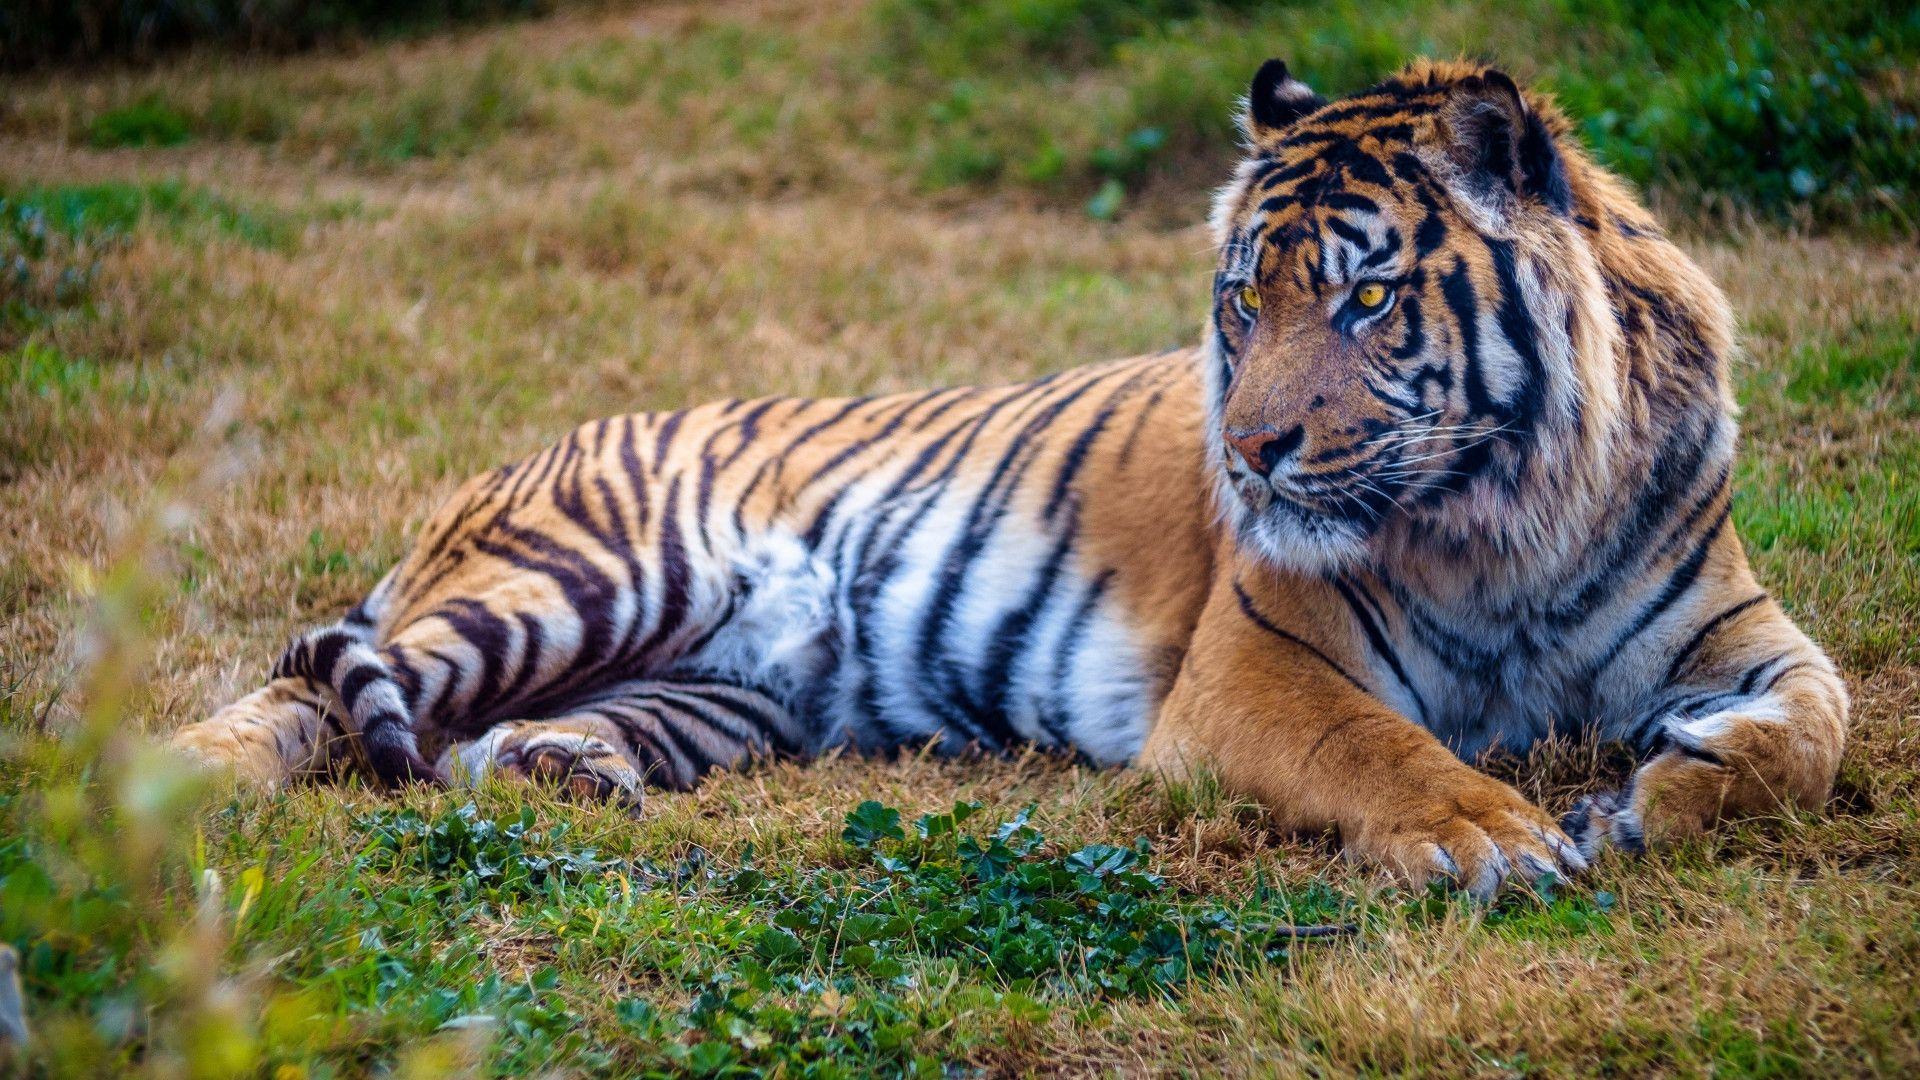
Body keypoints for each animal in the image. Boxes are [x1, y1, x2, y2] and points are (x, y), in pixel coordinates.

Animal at [172, 58, 1849, 898]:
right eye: (1244, 301)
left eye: (1367, 298)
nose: (1251, 454)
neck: (1512, 520)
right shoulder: (1256, 676)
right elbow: (1379, 749)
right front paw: (1495, 836)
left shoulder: (1730, 626)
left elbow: (1816, 729)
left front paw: (1662, 794)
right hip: (585, 574)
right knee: (315, 690)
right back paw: (178, 783)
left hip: (721, 693)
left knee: (468, 743)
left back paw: (556, 768)